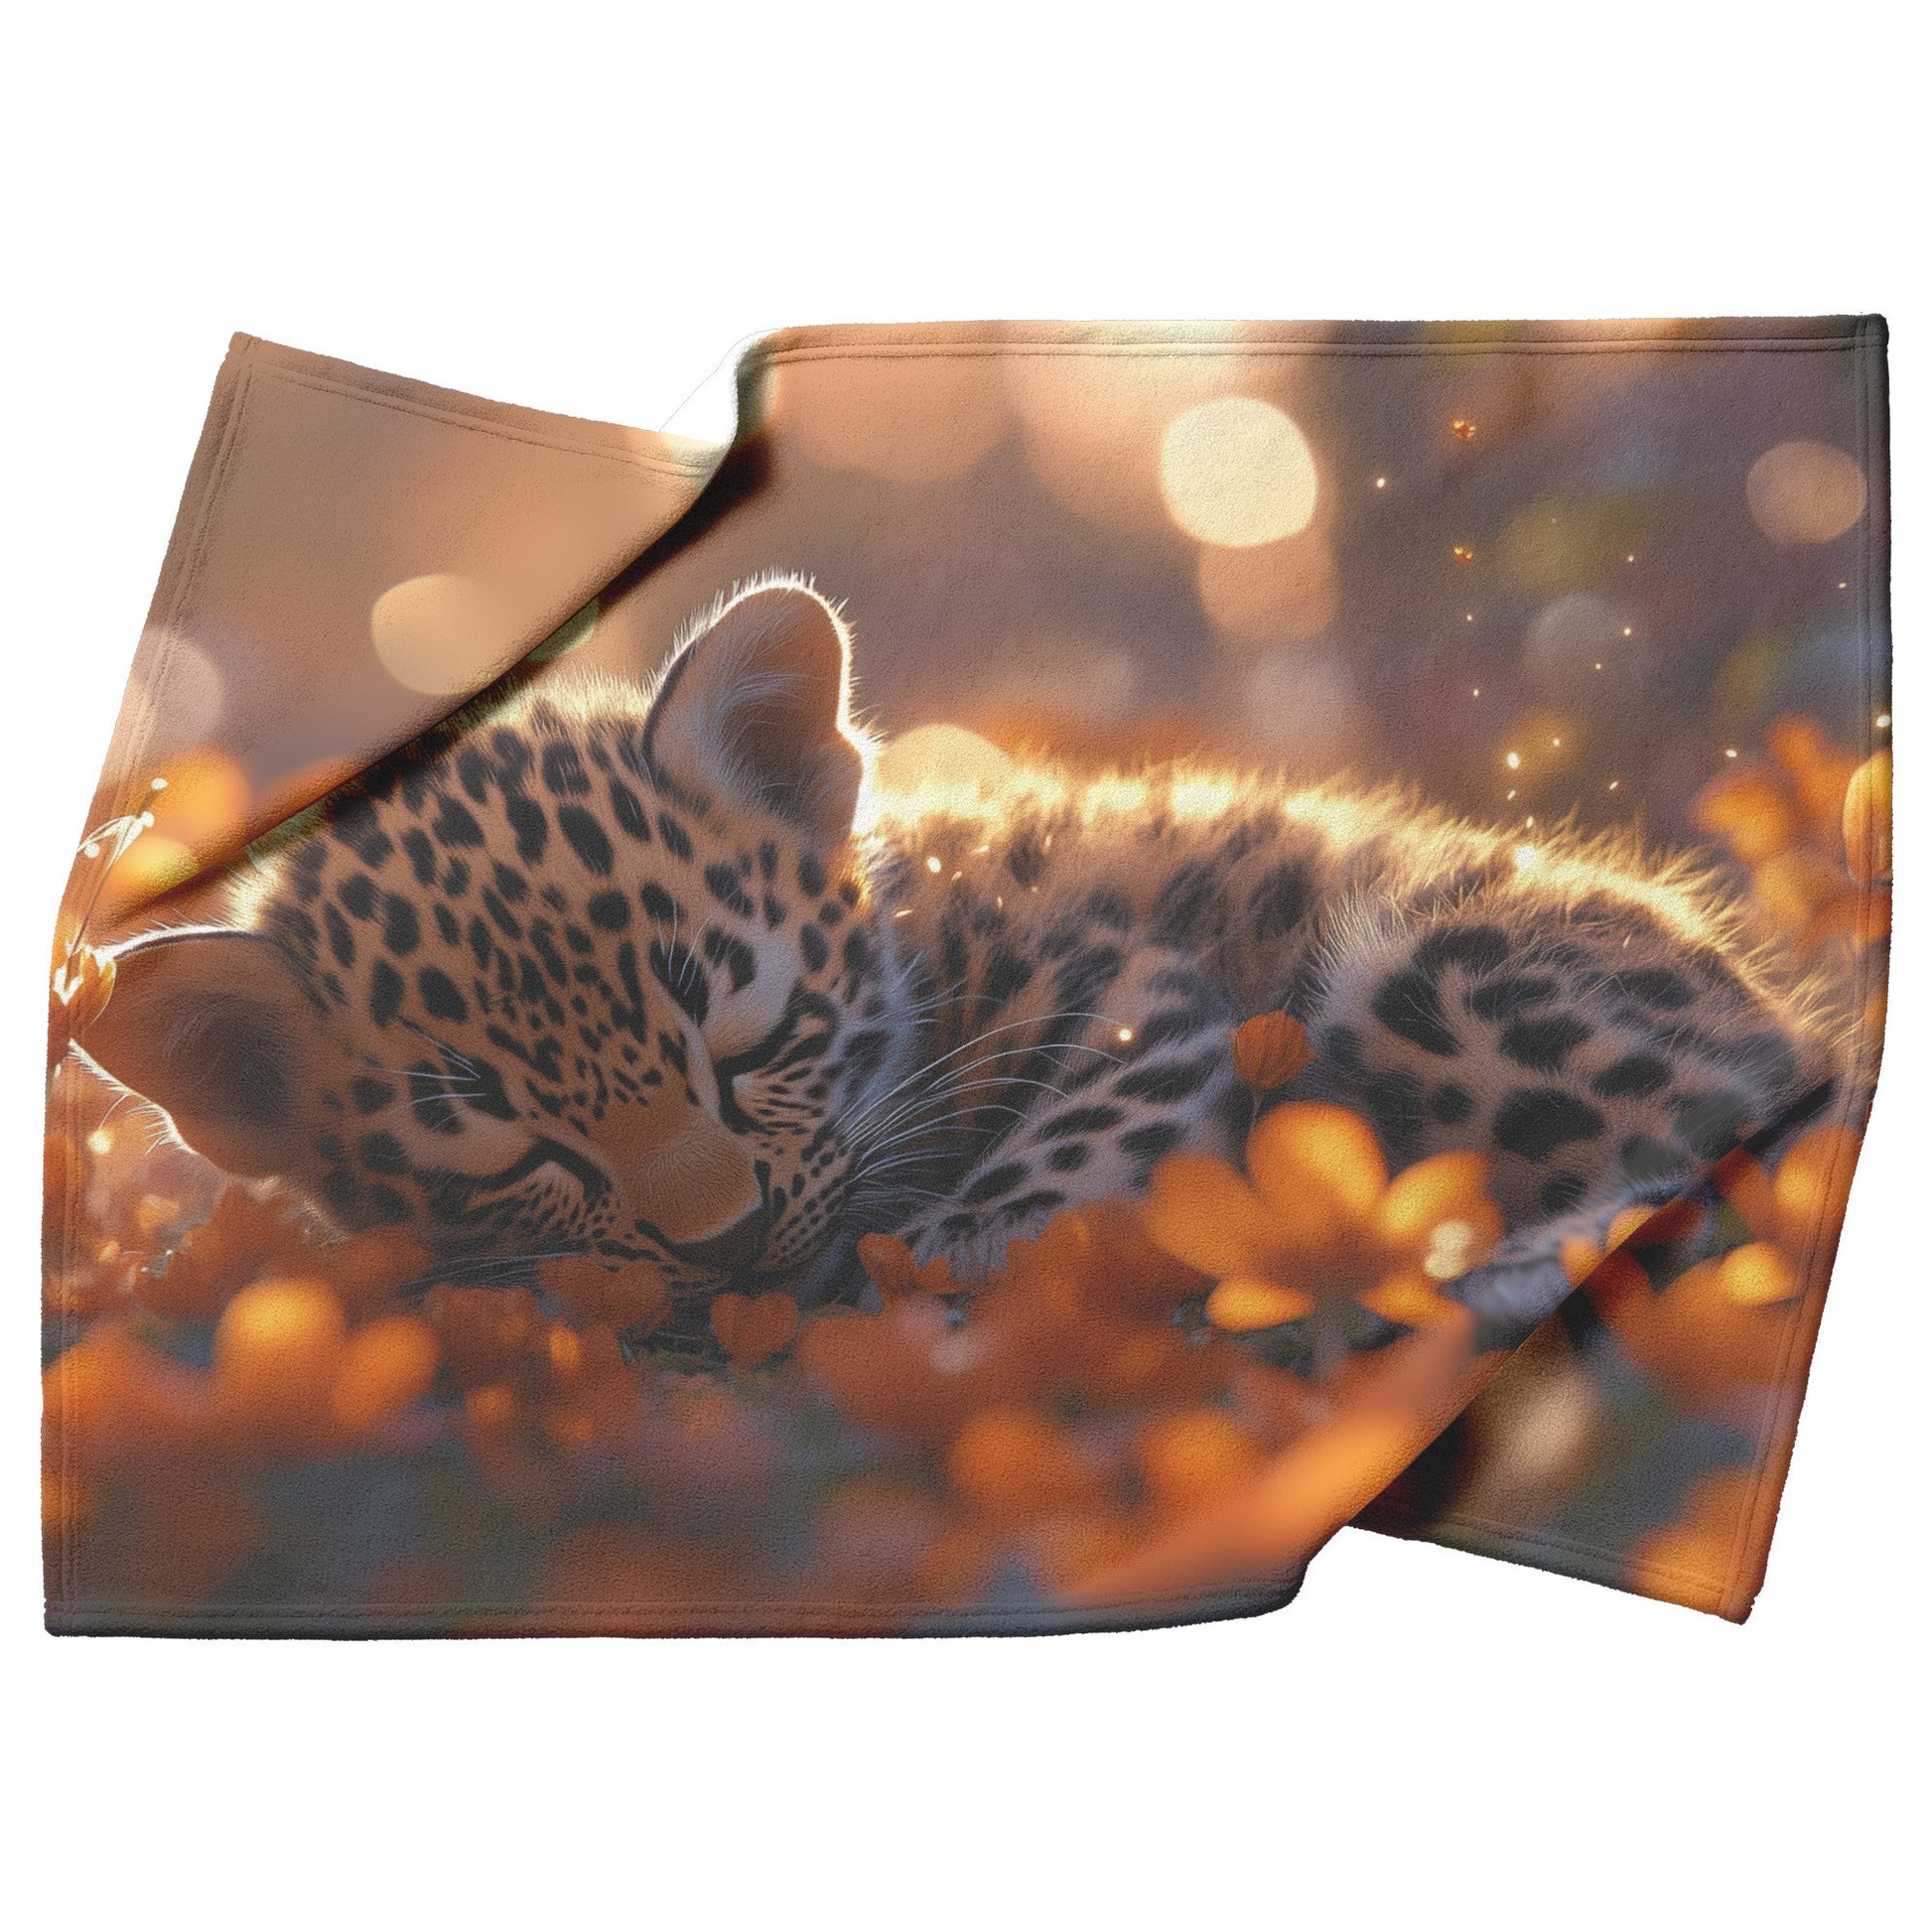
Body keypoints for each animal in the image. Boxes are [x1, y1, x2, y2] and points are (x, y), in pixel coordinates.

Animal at [81, 577, 1853, 1337]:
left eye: (750, 1041)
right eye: (514, 1151)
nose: (728, 1249)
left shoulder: (1141, 1001)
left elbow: (1006, 1192)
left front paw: (935, 1264)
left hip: (1439, 966)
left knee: (1718, 1138)